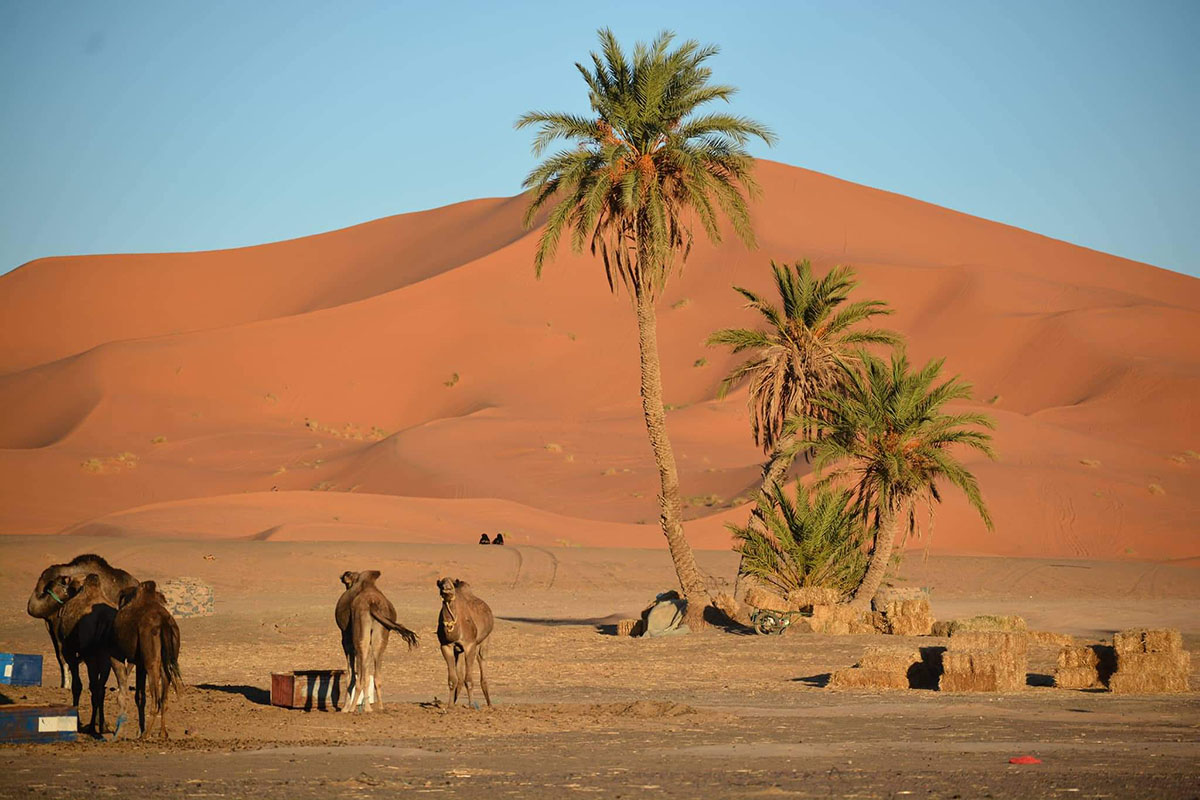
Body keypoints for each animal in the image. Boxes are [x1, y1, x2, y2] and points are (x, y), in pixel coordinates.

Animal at [26, 554, 137, 689]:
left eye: (58, 582)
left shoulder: (59, 623)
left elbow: (63, 656)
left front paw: (67, 685)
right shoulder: (51, 624)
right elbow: (61, 656)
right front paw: (66, 683)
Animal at [52, 574, 118, 736]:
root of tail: (103, 619)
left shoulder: (69, 651)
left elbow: (77, 686)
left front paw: (76, 721)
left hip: (90, 656)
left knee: (94, 687)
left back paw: (93, 728)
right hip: (105, 658)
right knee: (100, 688)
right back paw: (101, 726)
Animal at [112, 580, 182, 738]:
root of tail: (163, 622)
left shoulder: (120, 656)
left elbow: (129, 694)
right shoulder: (140, 662)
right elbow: (140, 696)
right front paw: (139, 730)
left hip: (151, 661)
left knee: (156, 699)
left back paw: (146, 734)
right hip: (167, 655)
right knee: (163, 698)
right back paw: (162, 733)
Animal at [338, 570, 419, 713]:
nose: (343, 576)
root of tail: (372, 603)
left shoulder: (346, 638)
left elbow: (351, 674)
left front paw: (345, 708)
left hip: (360, 634)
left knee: (362, 669)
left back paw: (354, 708)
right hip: (381, 634)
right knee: (375, 669)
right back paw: (379, 707)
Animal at [436, 577, 494, 707]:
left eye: (452, 583)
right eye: (441, 583)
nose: (446, 588)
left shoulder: (470, 645)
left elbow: (469, 680)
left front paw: (471, 705)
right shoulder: (446, 646)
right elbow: (452, 679)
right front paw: (450, 706)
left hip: (485, 639)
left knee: (481, 659)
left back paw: (490, 705)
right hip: (459, 651)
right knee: (460, 677)